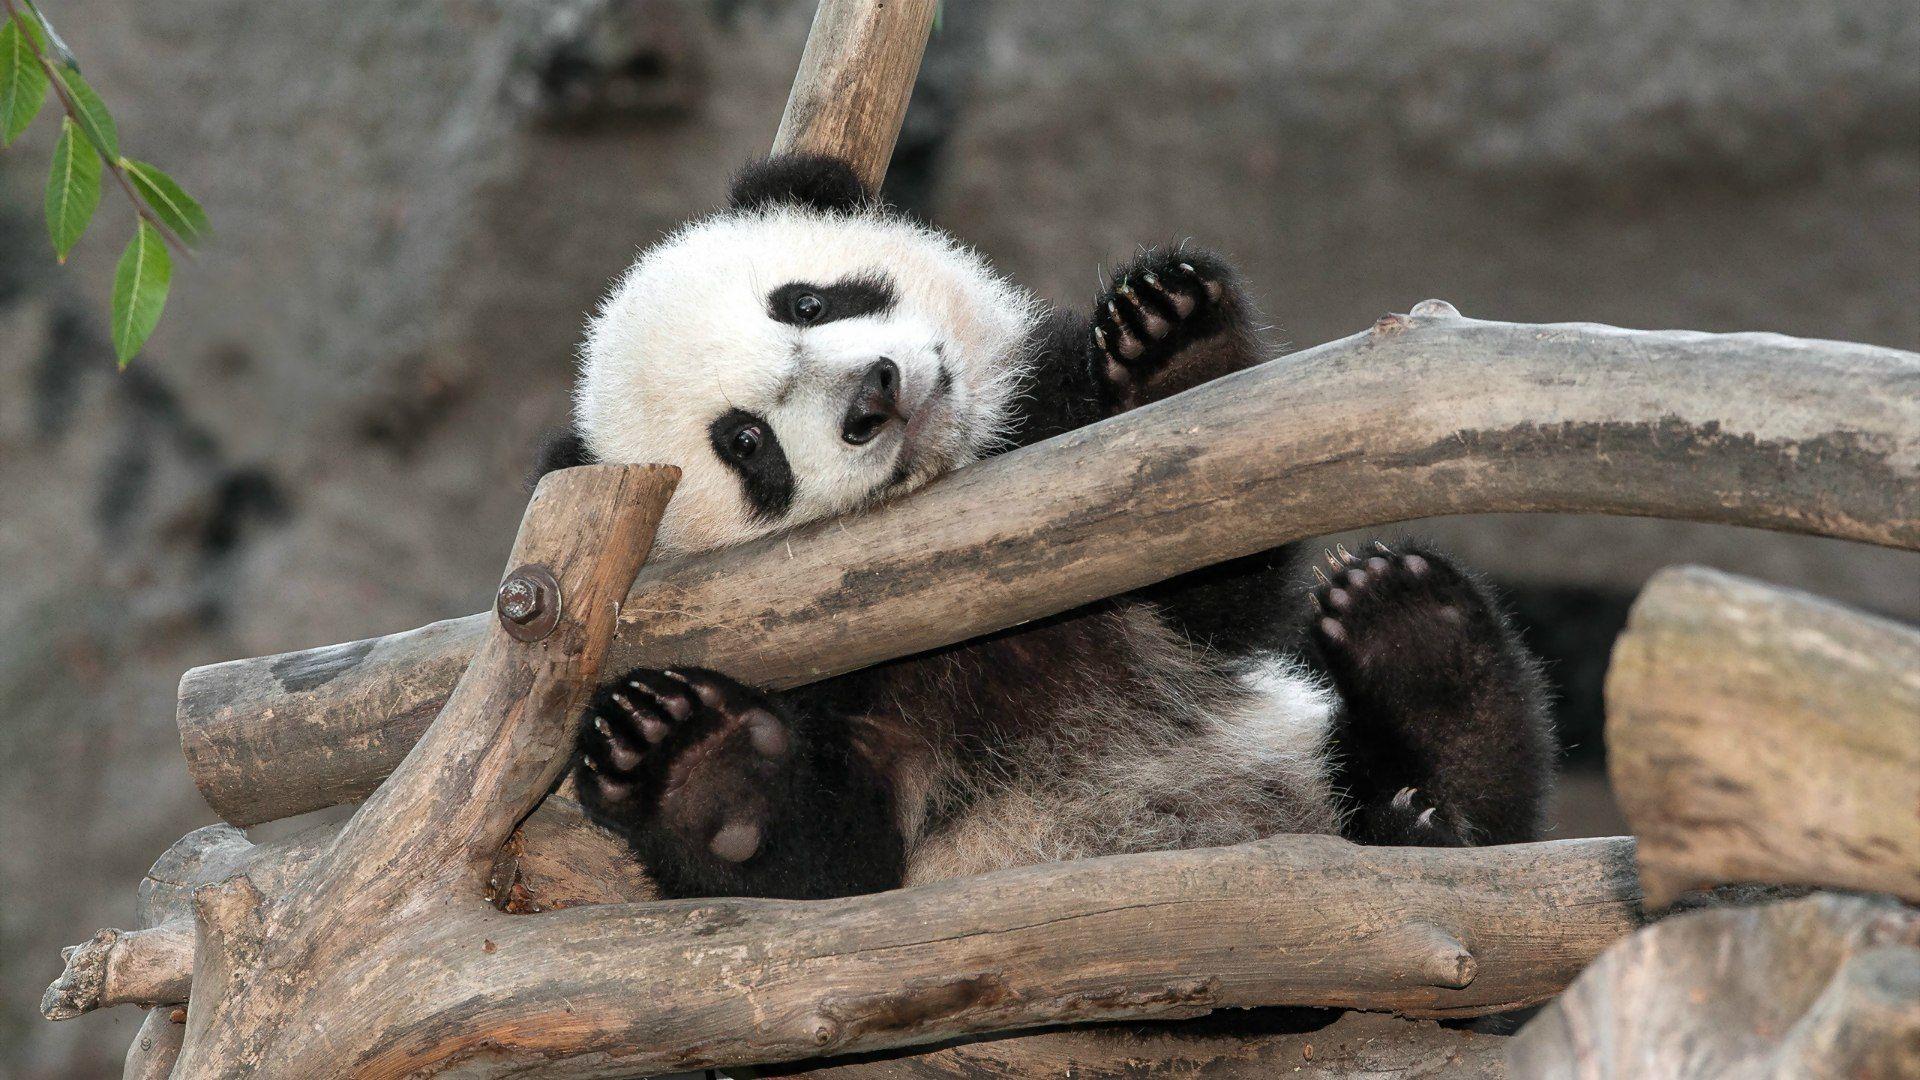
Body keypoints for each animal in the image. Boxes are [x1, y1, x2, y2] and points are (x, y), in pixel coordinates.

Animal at [543, 154, 1555, 900]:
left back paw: (1423, 653)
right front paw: (689, 755)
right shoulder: (818, 663)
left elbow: (1210, 576)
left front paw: (1175, 354)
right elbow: (827, 865)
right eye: (747, 444)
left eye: (807, 302)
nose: (874, 395)